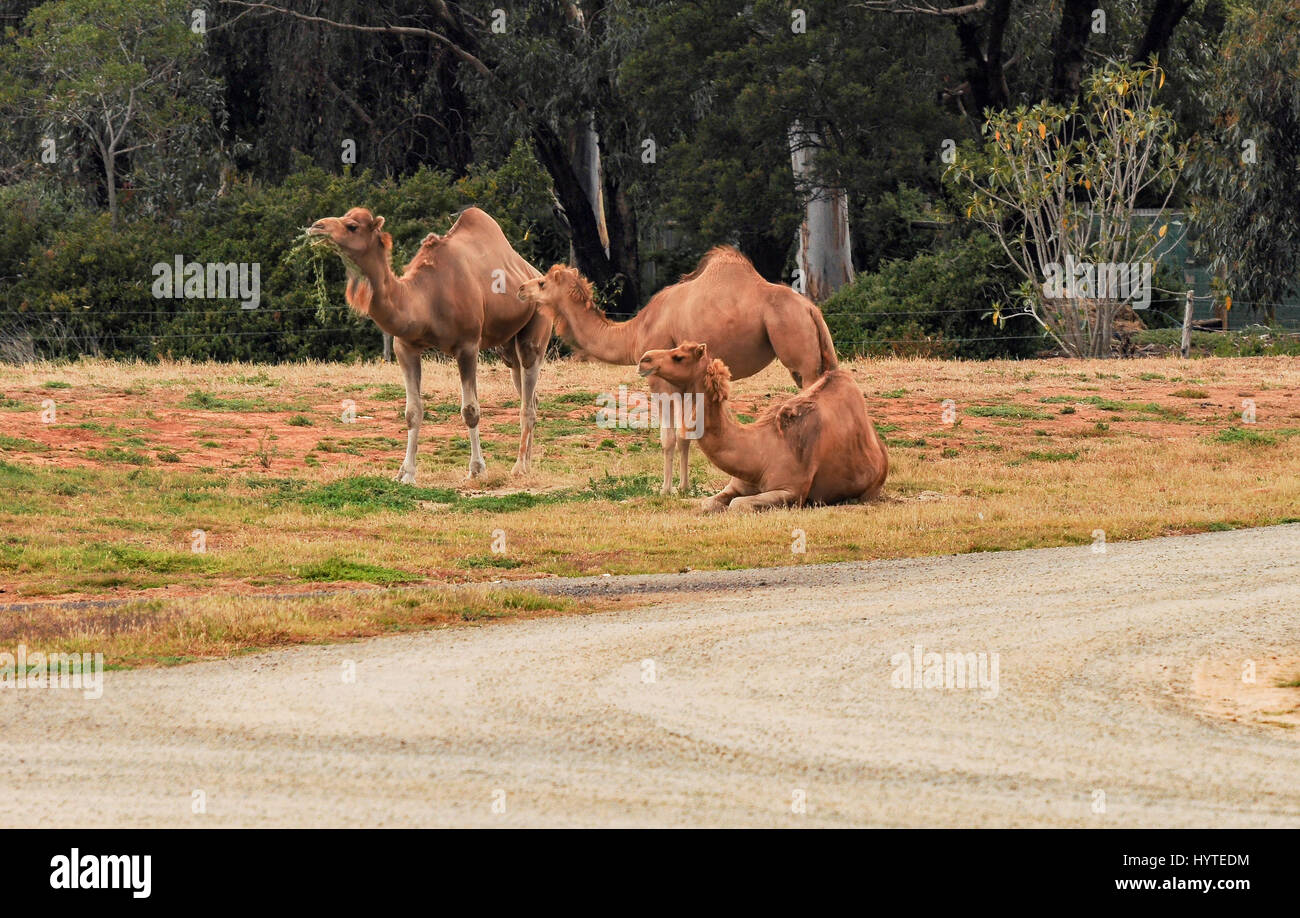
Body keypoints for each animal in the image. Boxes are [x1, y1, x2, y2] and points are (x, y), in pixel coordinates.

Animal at [306, 206, 550, 482]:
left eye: (352, 226)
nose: (316, 227)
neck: (426, 298)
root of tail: (532, 272)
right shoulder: (405, 346)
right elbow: (412, 412)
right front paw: (406, 474)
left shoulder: (467, 345)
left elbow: (470, 411)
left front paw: (476, 469)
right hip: (508, 345)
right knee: (529, 395)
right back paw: (527, 463)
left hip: (537, 327)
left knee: (527, 397)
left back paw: (519, 467)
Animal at [516, 247, 837, 495]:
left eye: (542, 283)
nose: (521, 289)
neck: (634, 332)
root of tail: (811, 310)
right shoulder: (684, 383)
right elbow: (685, 436)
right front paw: (683, 487)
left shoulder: (660, 381)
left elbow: (669, 438)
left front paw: (665, 489)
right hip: (806, 358)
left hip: (797, 349)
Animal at [637, 342, 888, 512]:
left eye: (678, 357)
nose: (644, 359)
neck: (759, 455)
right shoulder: (737, 484)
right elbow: (707, 503)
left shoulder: (791, 491)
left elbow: (737, 505)